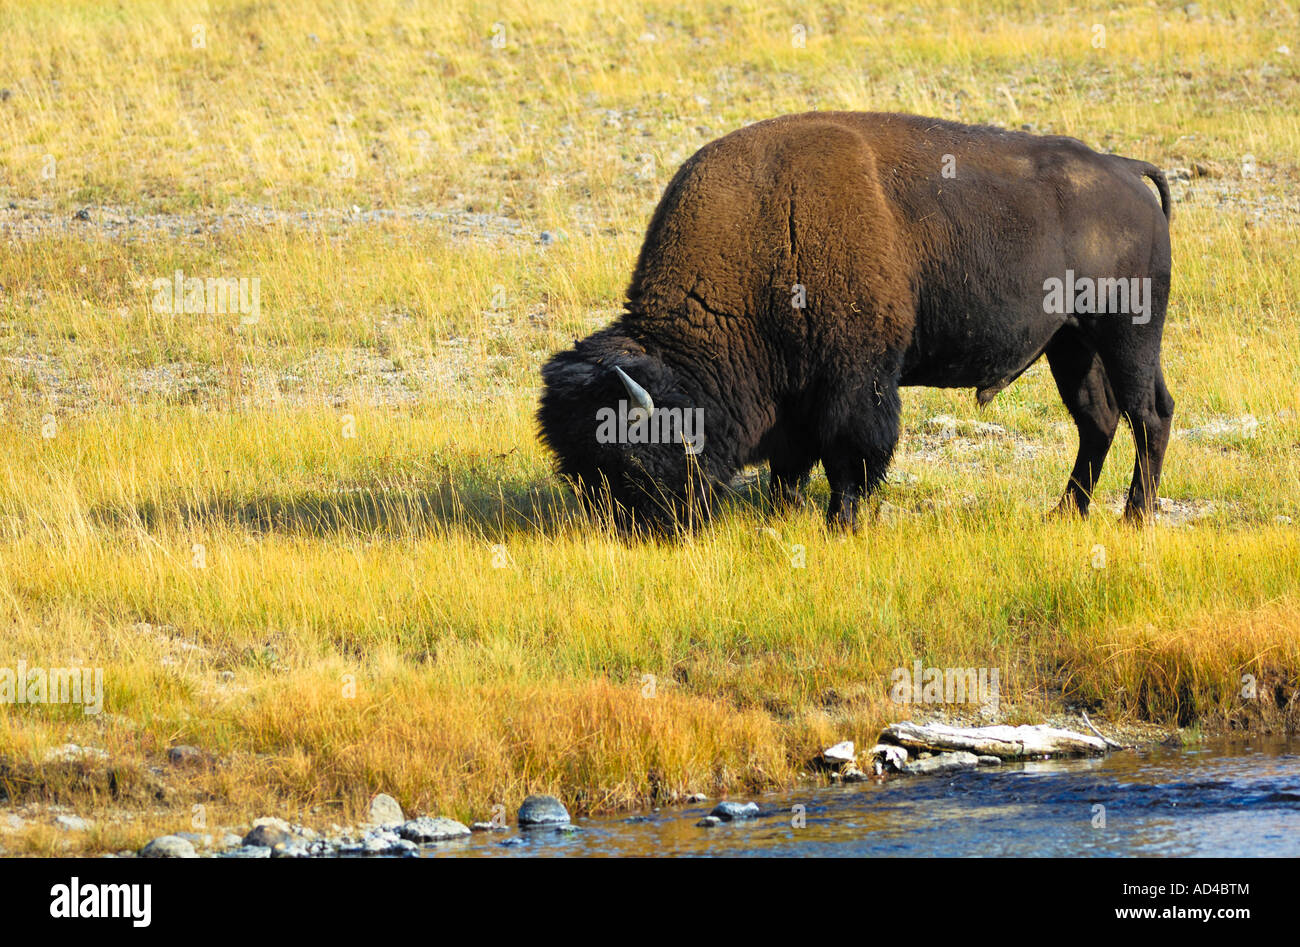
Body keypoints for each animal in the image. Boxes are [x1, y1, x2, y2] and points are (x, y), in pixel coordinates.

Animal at [538, 111, 1173, 531]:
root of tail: (1126, 170)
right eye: (578, 470)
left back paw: (1133, 518)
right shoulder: (795, 393)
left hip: (1128, 332)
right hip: (1071, 343)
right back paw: (1063, 513)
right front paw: (786, 511)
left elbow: (852, 453)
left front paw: (838, 521)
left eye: (630, 460)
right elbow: (792, 461)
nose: (638, 531)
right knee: (1098, 420)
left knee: (1149, 414)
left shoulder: (854, 378)